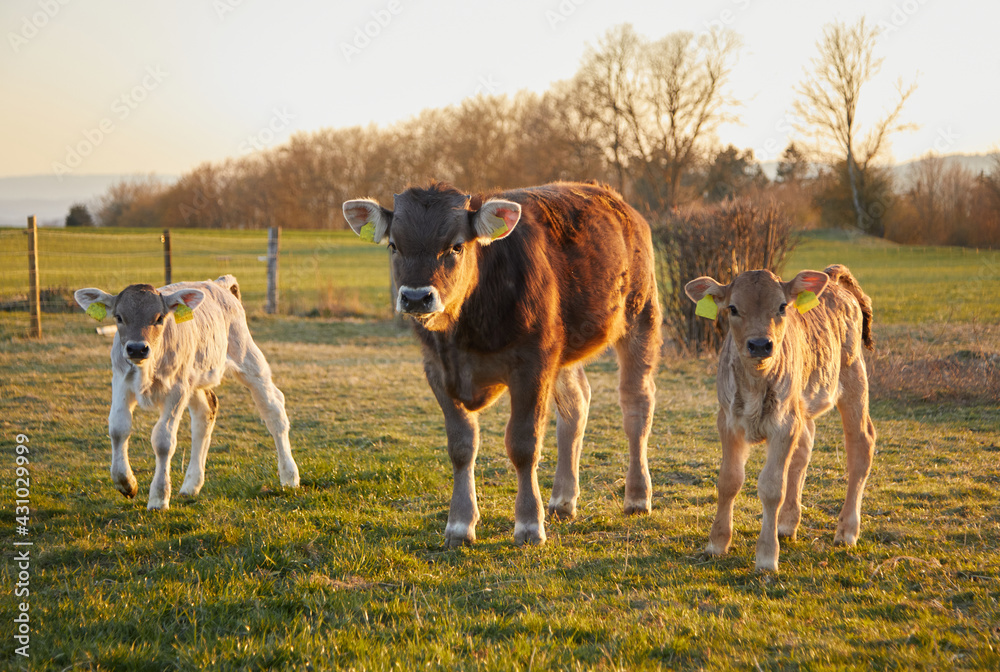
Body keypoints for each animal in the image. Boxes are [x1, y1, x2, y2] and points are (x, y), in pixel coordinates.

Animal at [74, 275, 300, 510]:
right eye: (119, 317)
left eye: (159, 318)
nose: (136, 348)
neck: (148, 368)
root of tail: (218, 283)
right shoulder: (121, 381)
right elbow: (118, 428)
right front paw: (126, 483)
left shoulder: (177, 389)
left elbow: (163, 440)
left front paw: (159, 497)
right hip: (195, 377)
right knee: (205, 413)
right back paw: (191, 485)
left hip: (246, 356)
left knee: (274, 408)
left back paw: (289, 476)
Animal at [343, 182, 661, 546]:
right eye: (394, 245)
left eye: (456, 246)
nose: (415, 297)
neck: (465, 333)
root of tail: (615, 199)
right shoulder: (437, 370)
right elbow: (461, 446)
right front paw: (460, 524)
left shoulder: (532, 366)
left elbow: (523, 444)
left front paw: (528, 524)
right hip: (562, 347)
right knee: (576, 406)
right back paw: (563, 500)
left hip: (640, 315)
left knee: (636, 406)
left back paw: (637, 496)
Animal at [684, 264, 876, 571]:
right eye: (733, 308)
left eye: (782, 306)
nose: (760, 344)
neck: (755, 382)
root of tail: (833, 278)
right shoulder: (728, 420)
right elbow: (729, 480)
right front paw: (717, 543)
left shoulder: (784, 424)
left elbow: (772, 487)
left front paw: (766, 557)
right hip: (803, 405)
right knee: (804, 450)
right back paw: (787, 525)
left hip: (853, 376)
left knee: (861, 444)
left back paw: (847, 531)